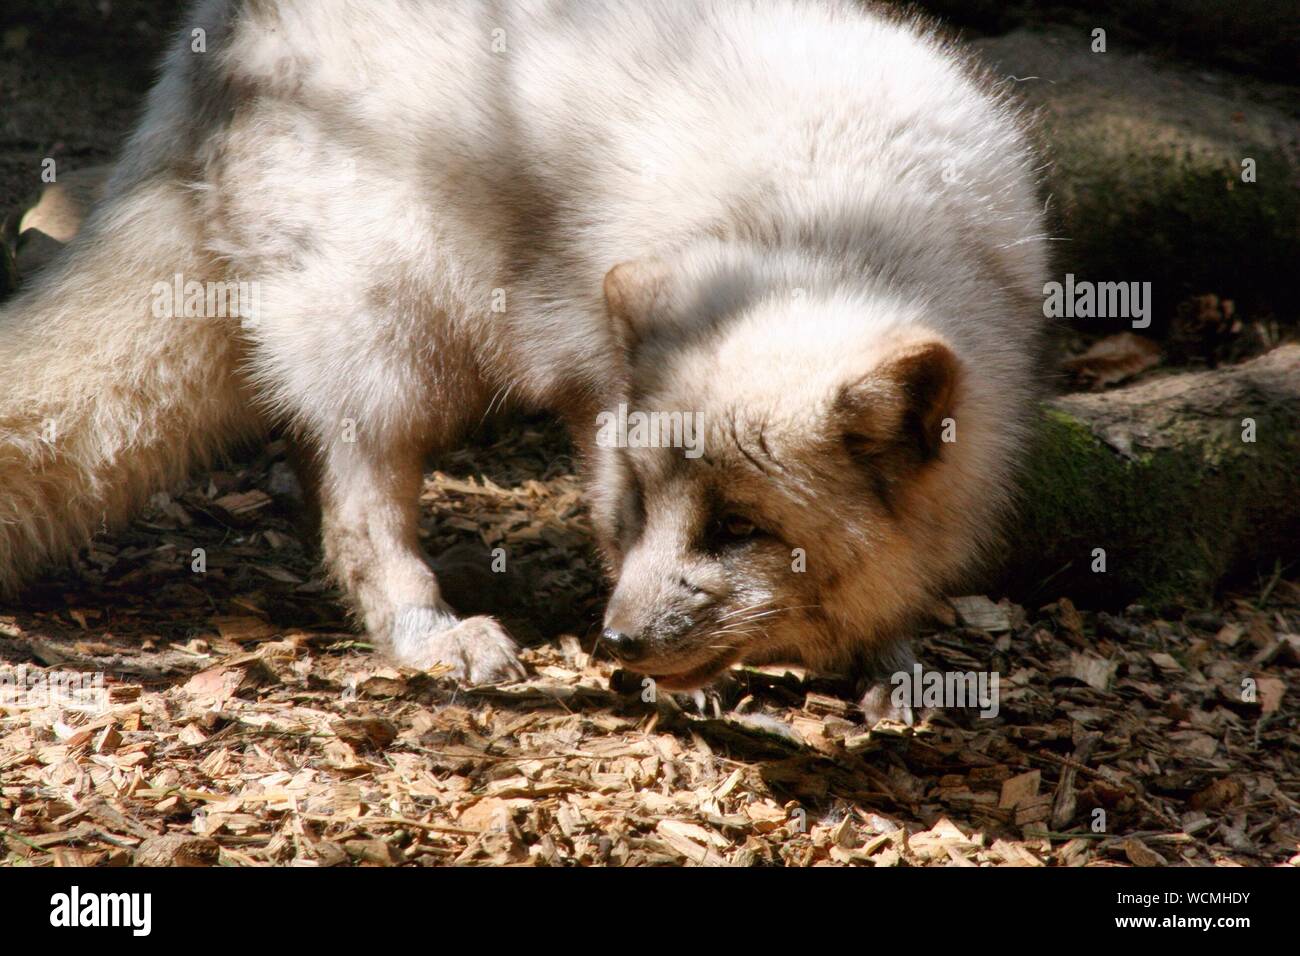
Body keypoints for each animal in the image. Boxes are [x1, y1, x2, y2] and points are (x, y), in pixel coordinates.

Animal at [0, 0, 1047, 717]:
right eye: (643, 505)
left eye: (741, 529)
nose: (617, 641)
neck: (830, 230)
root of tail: (213, 36)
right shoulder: (591, 388)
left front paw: (890, 657)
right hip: (399, 333)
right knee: (353, 501)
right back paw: (429, 631)